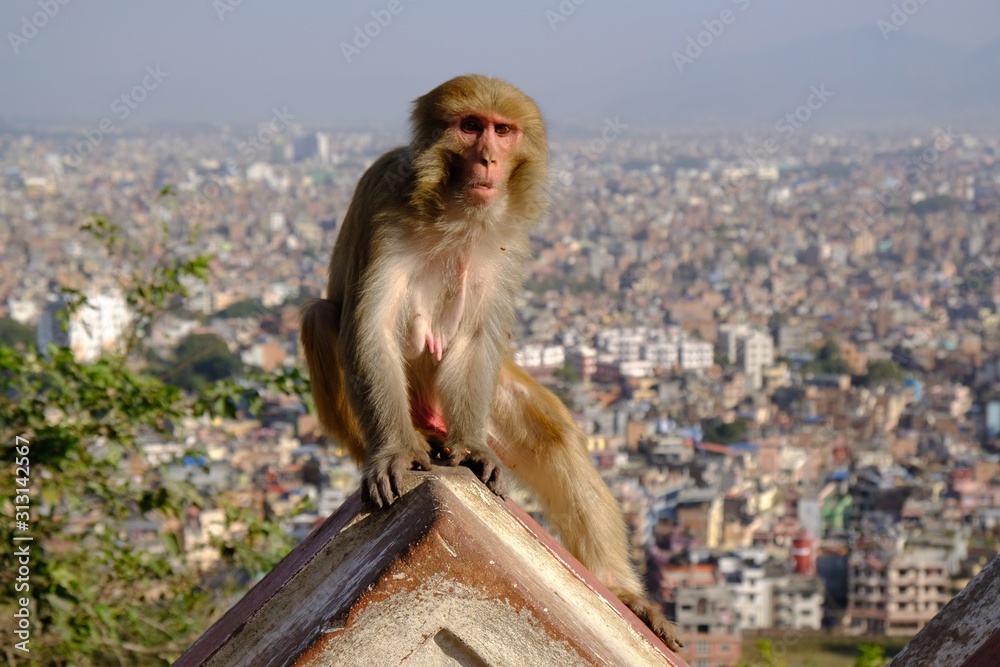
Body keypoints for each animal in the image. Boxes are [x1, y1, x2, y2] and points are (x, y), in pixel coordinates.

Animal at [300, 74, 683, 651]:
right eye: (469, 126)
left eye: (502, 131)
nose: (487, 159)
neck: (457, 211)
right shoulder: (386, 201)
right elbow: (372, 328)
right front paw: (393, 452)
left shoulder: (510, 237)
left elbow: (478, 337)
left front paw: (471, 450)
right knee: (322, 318)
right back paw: (409, 441)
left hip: (479, 399)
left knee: (552, 435)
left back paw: (621, 590)